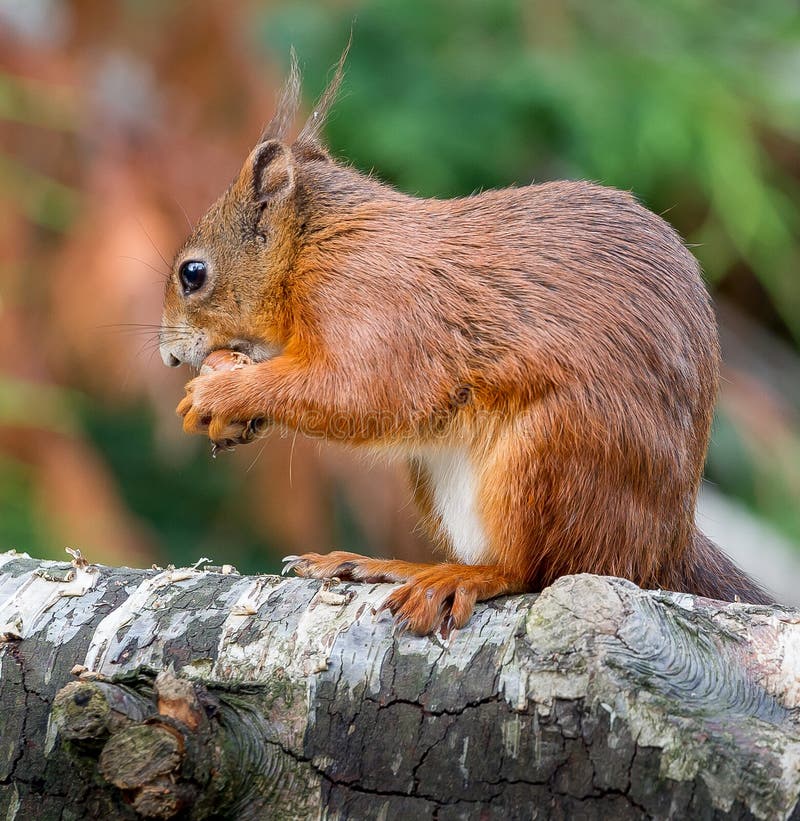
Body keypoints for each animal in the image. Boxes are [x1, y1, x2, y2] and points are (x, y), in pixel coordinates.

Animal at [160, 51, 772, 635]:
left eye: (193, 273)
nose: (168, 355)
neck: (316, 248)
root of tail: (664, 546)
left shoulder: (376, 306)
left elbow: (359, 392)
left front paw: (221, 394)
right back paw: (380, 564)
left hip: (552, 454)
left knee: (534, 569)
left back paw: (459, 577)